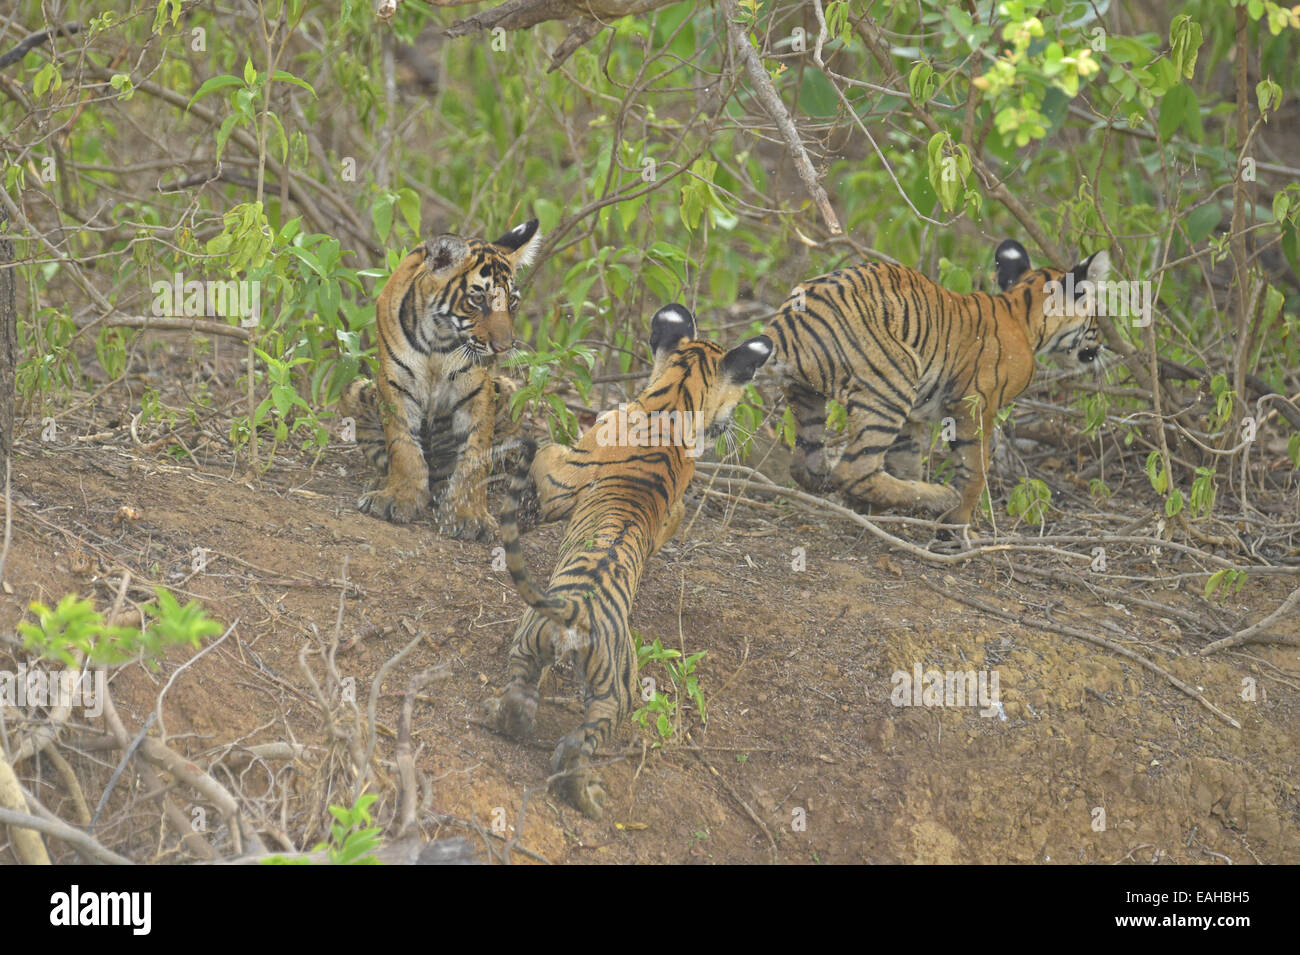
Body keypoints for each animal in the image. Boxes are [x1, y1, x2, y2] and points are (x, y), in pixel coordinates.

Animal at [339, 218, 542, 540]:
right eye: (478, 298)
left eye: (512, 301)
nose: (504, 347)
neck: (439, 337)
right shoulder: (394, 384)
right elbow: (403, 446)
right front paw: (398, 496)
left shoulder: (477, 390)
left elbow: (475, 456)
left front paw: (469, 515)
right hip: (353, 391)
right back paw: (383, 482)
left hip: (510, 393)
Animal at [484, 304, 774, 819]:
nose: (727, 426)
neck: (676, 395)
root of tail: (575, 609)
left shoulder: (564, 470)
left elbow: (546, 454)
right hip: (565, 664)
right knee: (542, 716)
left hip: (597, 680)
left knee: (567, 734)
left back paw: (584, 793)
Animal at [763, 238, 1109, 534]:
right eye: (1095, 315)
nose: (1102, 345)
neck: (1024, 317)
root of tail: (786, 320)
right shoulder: (974, 406)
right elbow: (975, 469)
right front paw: (959, 523)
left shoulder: (915, 418)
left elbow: (907, 462)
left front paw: (882, 507)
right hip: (893, 381)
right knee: (853, 470)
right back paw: (941, 497)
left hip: (809, 394)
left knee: (806, 465)